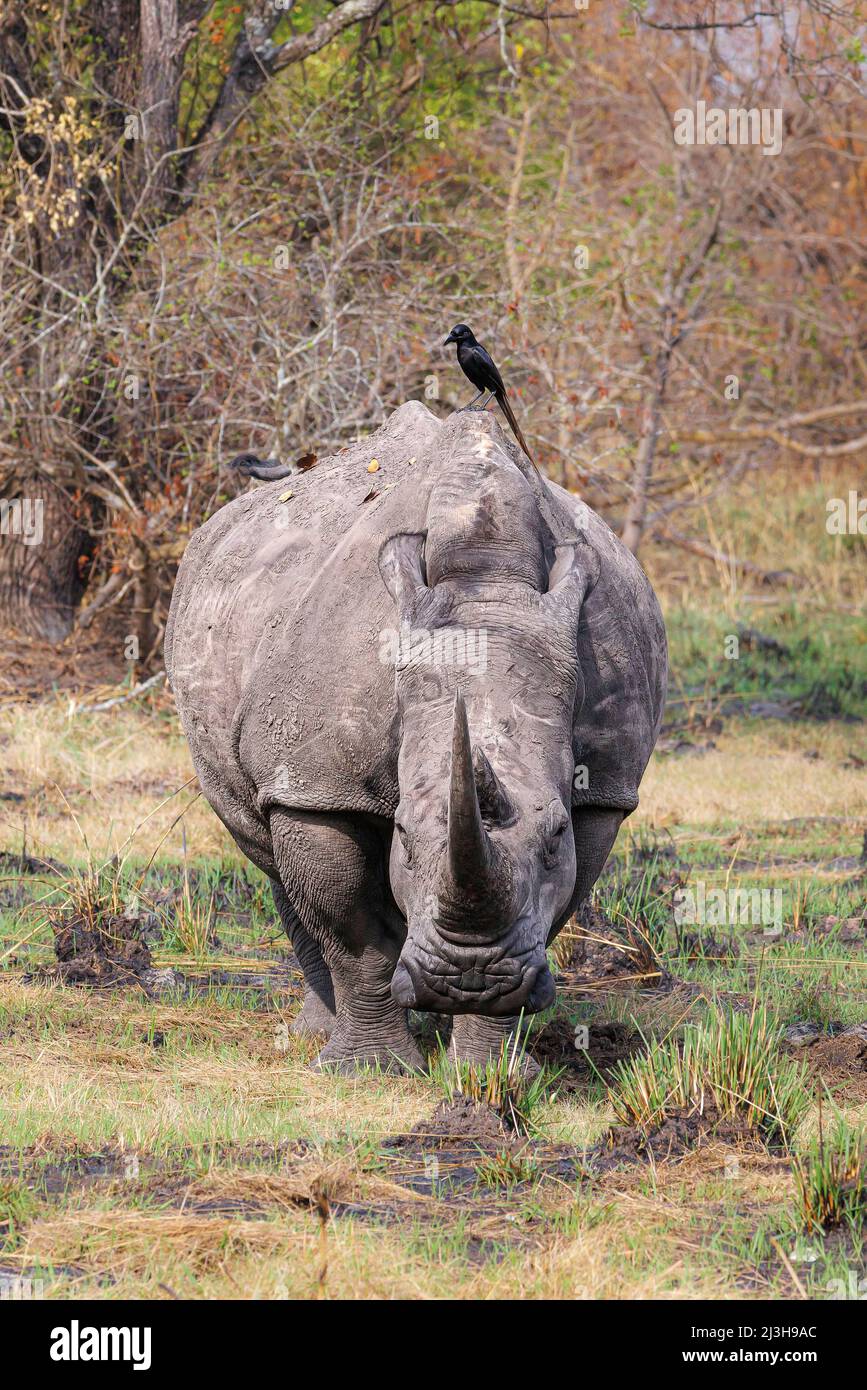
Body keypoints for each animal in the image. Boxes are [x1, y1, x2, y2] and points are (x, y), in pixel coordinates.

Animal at [165, 402, 667, 1072]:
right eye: (403, 833)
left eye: (556, 834)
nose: (469, 976)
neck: (487, 594)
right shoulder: (318, 783)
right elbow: (352, 933)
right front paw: (367, 1070)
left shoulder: (603, 791)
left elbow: (551, 906)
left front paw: (491, 1071)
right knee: (267, 847)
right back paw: (315, 1037)